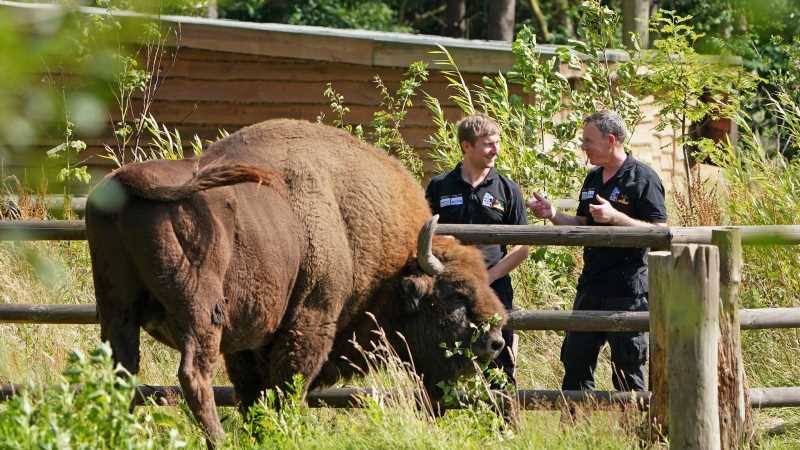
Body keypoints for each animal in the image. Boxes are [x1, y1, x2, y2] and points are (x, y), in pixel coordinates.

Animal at [86, 118, 506, 442]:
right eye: (455, 294)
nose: (495, 340)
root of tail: (130, 178)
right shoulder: (310, 319)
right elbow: (287, 385)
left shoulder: (249, 340)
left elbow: (254, 392)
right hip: (201, 311)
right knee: (193, 375)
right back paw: (218, 440)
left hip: (117, 309)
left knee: (122, 370)